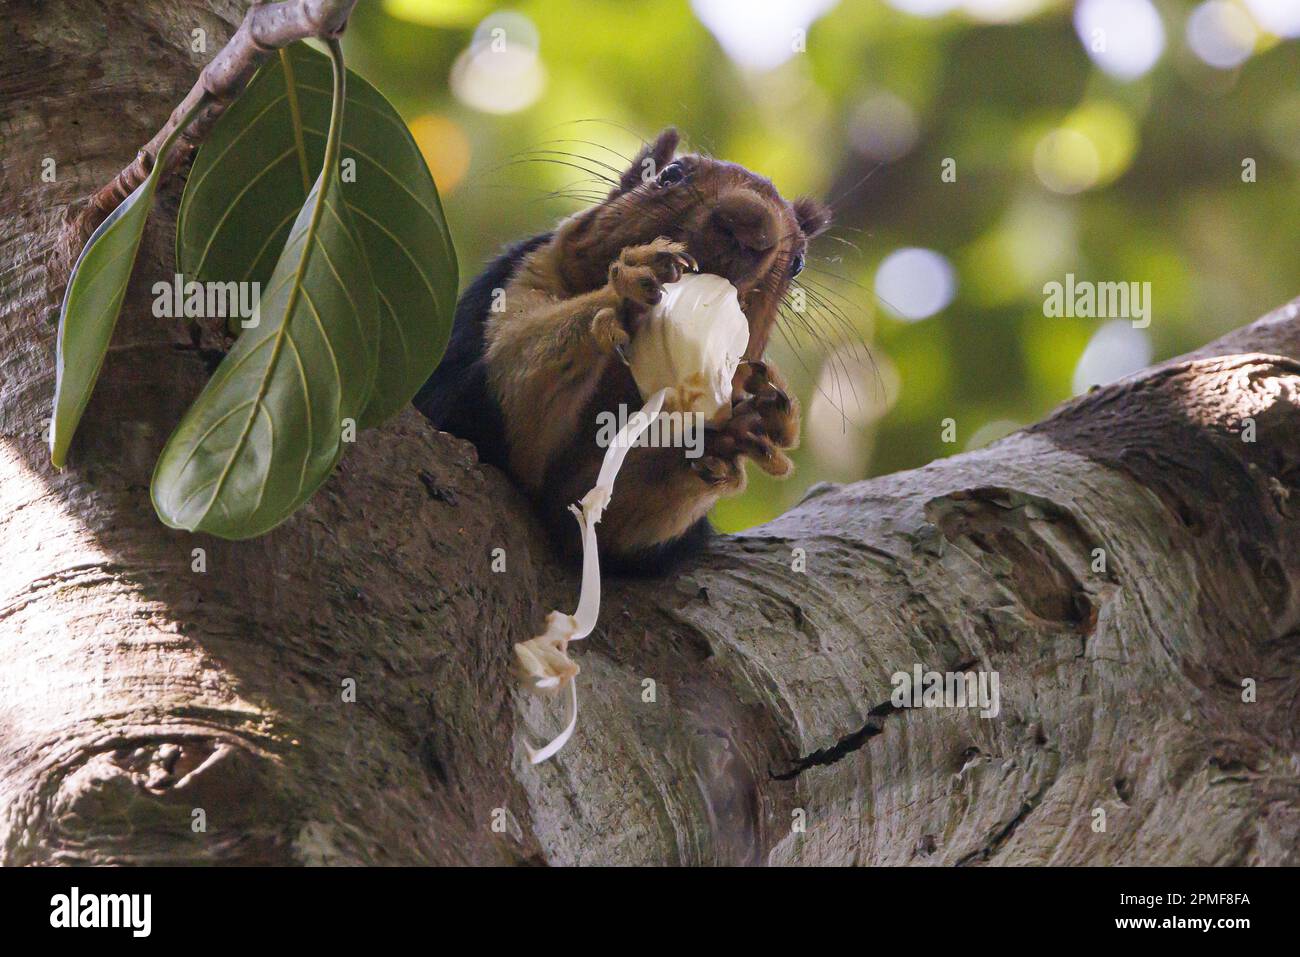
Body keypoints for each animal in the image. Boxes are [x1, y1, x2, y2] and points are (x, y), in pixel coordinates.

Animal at [414, 128, 831, 568]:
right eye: (669, 174)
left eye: (798, 263)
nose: (749, 222)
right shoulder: (517, 280)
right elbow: (504, 390)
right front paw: (625, 288)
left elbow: (604, 524)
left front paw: (733, 432)